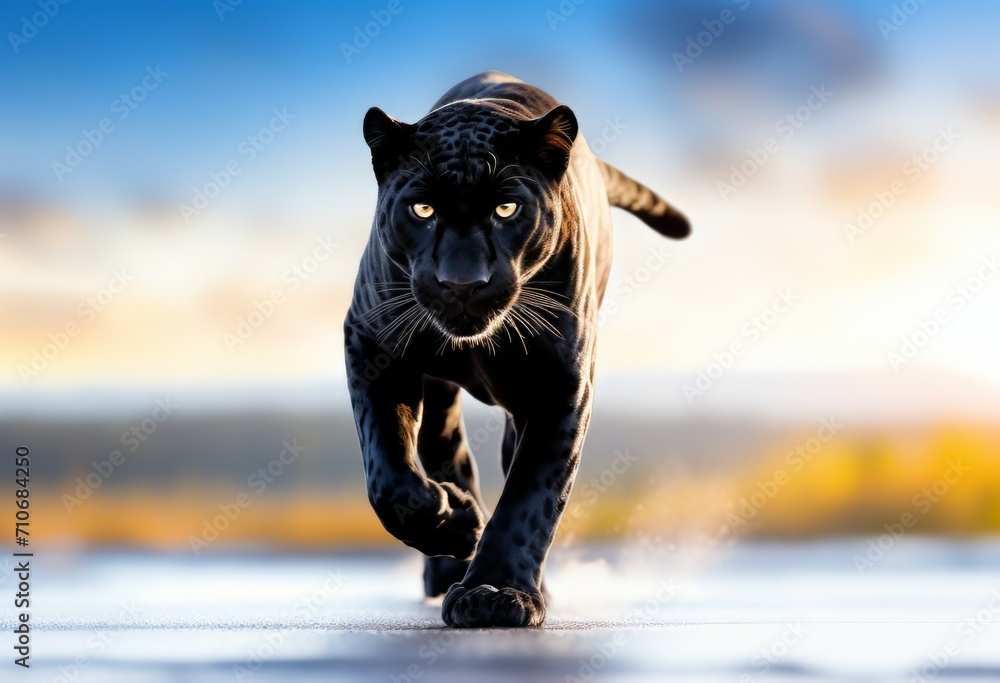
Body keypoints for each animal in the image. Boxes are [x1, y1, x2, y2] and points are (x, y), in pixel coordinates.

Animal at [344, 71, 689, 628]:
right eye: (423, 209)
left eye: (507, 208)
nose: (462, 283)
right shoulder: (372, 343)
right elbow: (388, 472)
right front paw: (457, 527)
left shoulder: (559, 388)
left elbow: (532, 494)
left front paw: (496, 593)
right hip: (436, 393)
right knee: (445, 450)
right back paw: (450, 552)